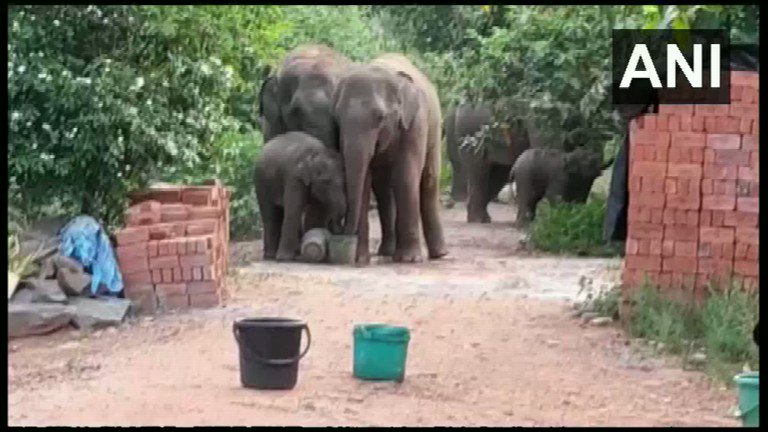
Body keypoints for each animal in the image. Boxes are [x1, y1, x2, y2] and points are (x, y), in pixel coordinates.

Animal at [253, 132, 347, 262]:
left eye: (344, 182)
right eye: (325, 182)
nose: (339, 228)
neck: (315, 153)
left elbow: (318, 212)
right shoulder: (294, 178)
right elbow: (293, 210)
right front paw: (284, 258)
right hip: (261, 181)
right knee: (270, 214)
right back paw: (271, 256)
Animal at [333, 53, 448, 264]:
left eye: (380, 117)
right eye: (337, 117)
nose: (344, 239)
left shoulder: (415, 123)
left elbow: (406, 177)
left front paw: (410, 259)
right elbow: (365, 183)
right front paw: (360, 259)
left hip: (435, 127)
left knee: (428, 181)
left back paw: (439, 254)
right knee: (384, 190)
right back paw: (387, 252)